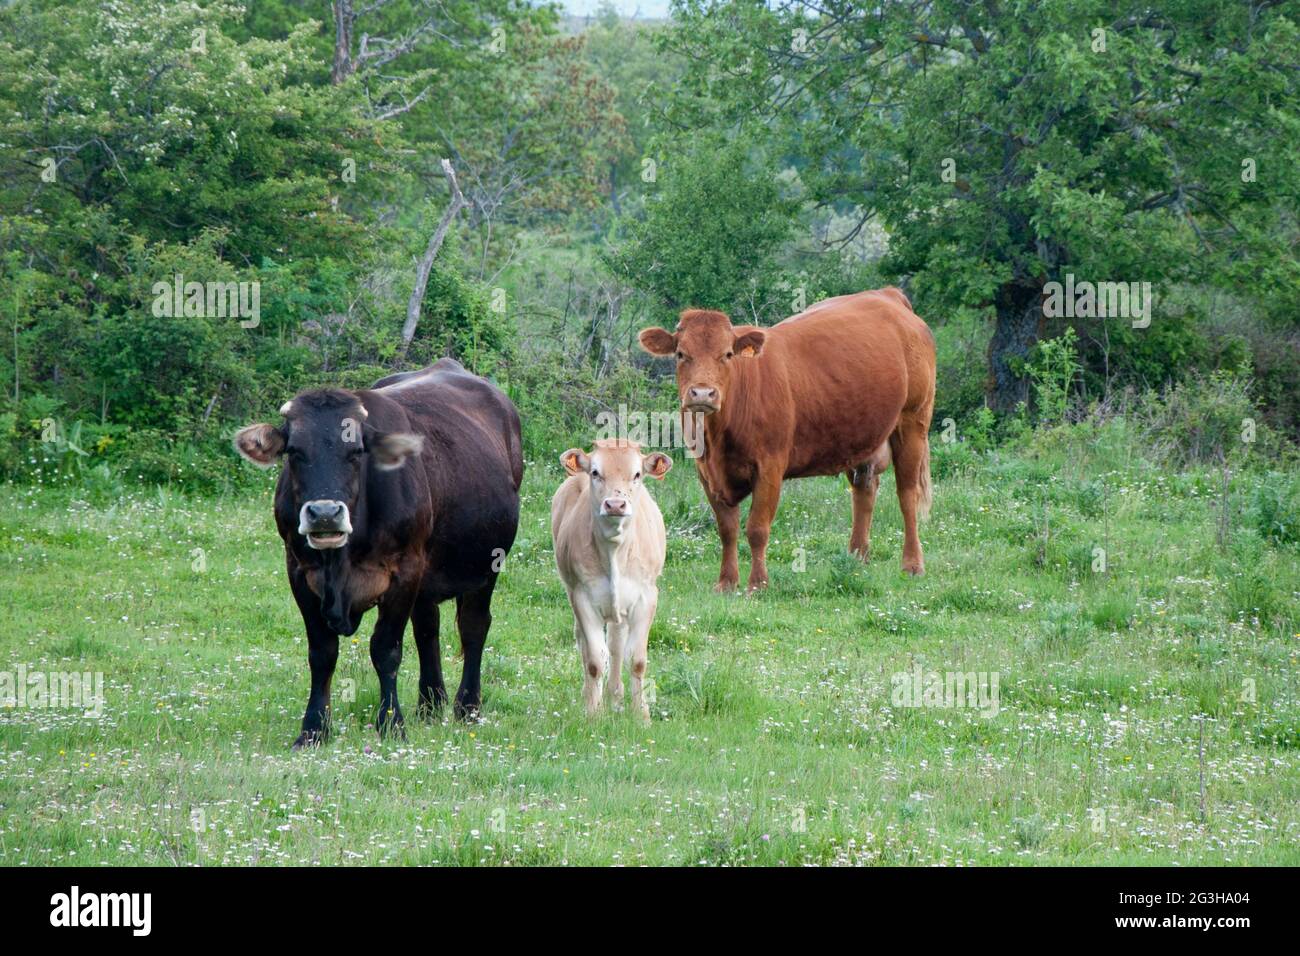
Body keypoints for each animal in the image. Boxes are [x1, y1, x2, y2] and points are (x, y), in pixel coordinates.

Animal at [234, 358, 523, 748]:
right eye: (294, 452)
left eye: (356, 452)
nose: (324, 513)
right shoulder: (298, 570)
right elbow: (321, 653)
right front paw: (313, 729)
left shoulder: (404, 570)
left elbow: (385, 649)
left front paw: (391, 723)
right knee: (427, 628)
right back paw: (430, 704)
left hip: (486, 563)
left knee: (473, 626)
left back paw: (467, 707)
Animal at [551, 439, 672, 722]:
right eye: (595, 472)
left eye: (637, 474)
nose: (615, 505)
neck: (615, 551)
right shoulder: (582, 597)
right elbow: (595, 660)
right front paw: (593, 714)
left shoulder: (646, 596)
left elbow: (636, 659)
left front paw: (641, 716)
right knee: (587, 645)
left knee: (616, 644)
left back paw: (616, 696)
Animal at [638, 288, 935, 591]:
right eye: (680, 354)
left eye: (728, 354)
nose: (702, 393)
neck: (719, 437)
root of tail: (887, 294)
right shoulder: (707, 472)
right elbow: (727, 529)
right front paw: (727, 583)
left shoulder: (770, 467)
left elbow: (757, 528)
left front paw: (758, 583)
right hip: (862, 437)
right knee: (864, 491)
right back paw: (856, 558)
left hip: (913, 422)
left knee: (907, 494)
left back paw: (912, 564)